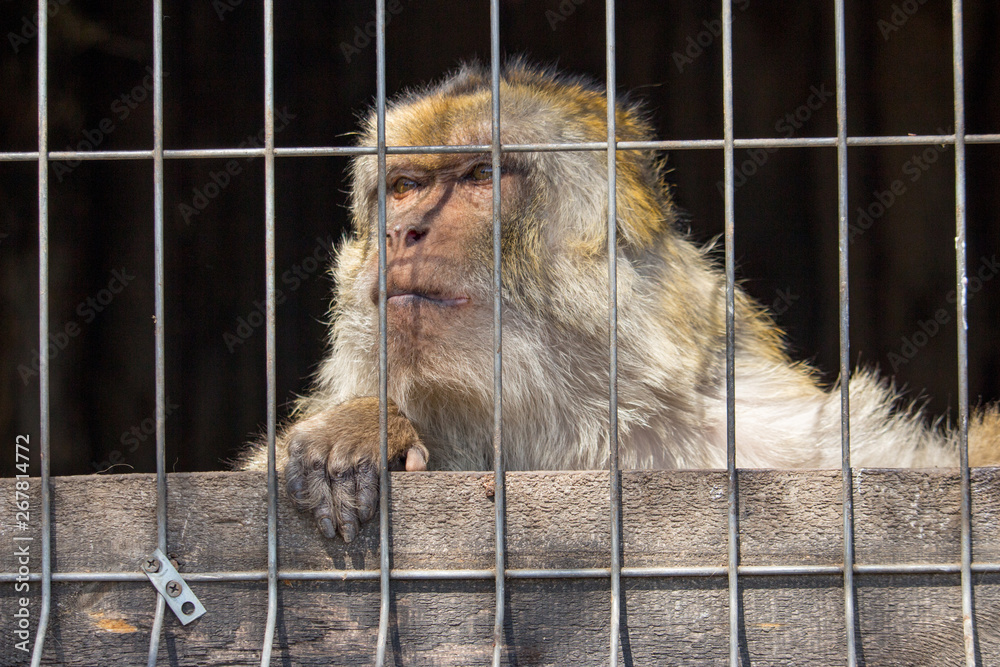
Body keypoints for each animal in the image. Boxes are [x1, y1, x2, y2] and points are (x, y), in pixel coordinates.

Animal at [240, 61, 1000, 543]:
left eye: (481, 175)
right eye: (402, 188)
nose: (403, 231)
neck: (563, 420)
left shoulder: (775, 434)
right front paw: (372, 424)